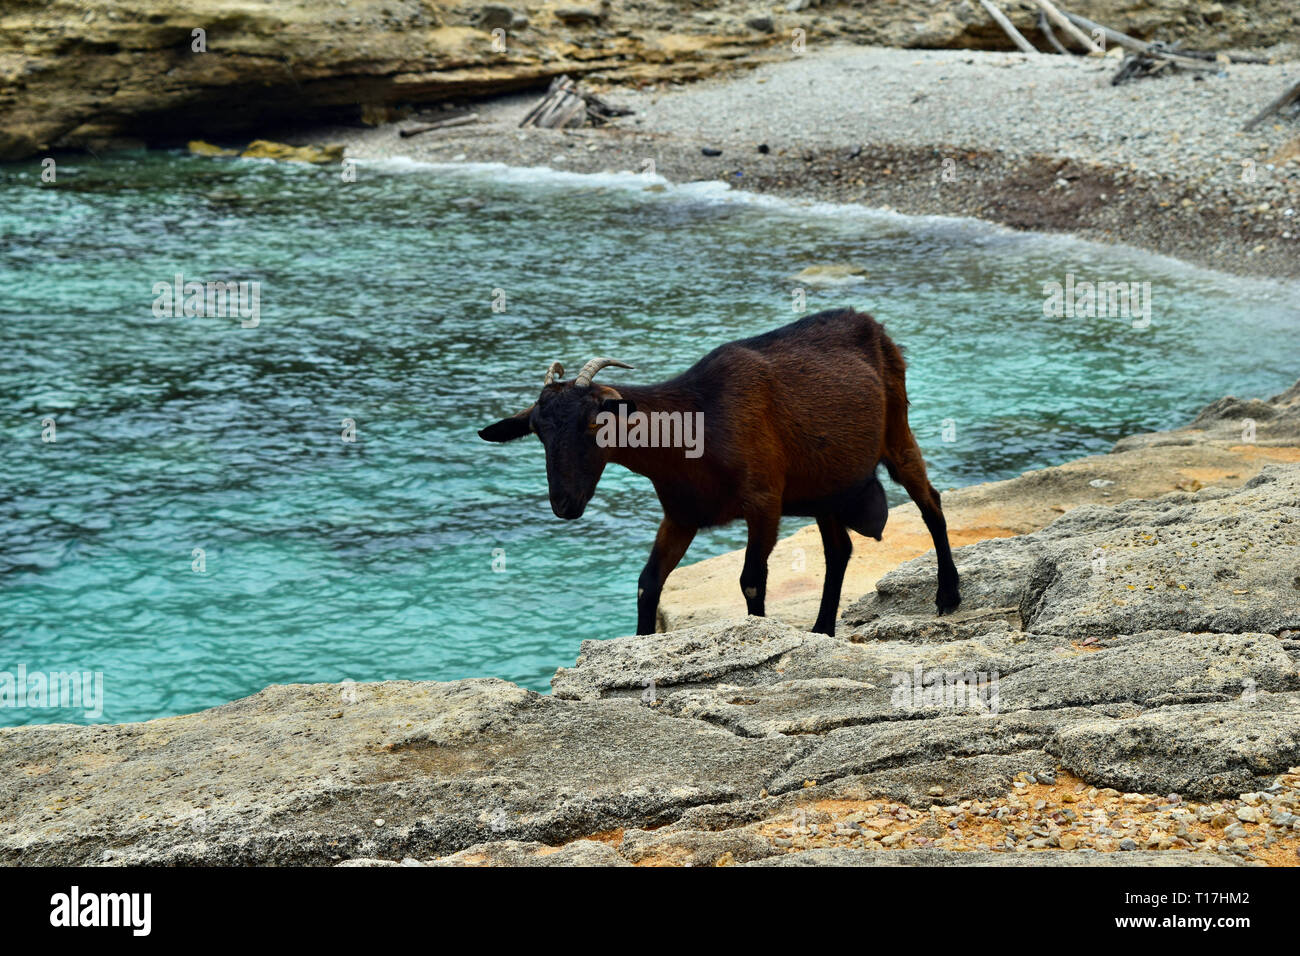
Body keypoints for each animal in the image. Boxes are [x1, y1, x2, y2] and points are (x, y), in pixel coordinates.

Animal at [479, 307, 960, 635]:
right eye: (538, 432)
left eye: (595, 424)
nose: (564, 504)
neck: (696, 423)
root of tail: (871, 323)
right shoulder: (682, 514)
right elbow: (648, 583)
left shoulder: (764, 501)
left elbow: (751, 582)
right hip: (825, 482)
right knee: (839, 549)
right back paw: (823, 630)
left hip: (896, 430)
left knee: (930, 503)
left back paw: (948, 595)